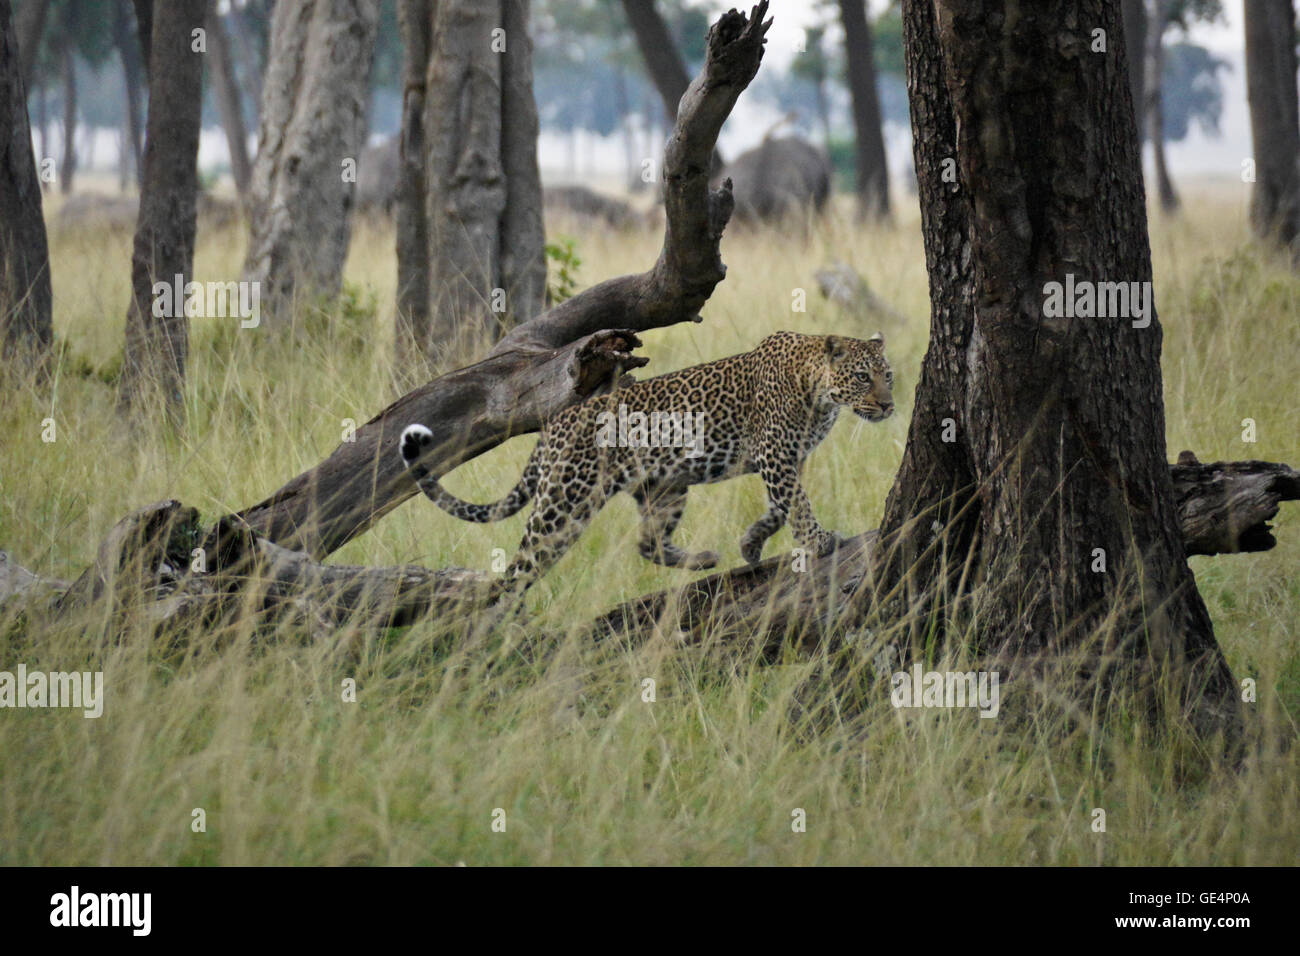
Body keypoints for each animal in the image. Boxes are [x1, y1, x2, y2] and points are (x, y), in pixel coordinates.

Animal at [399, 330, 895, 598]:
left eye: (887, 376)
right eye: (861, 377)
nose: (889, 405)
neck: (820, 394)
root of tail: (554, 425)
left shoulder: (788, 458)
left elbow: (781, 506)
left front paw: (752, 543)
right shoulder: (775, 454)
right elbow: (797, 504)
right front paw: (819, 540)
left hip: (665, 486)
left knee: (647, 543)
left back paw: (702, 558)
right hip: (565, 501)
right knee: (520, 567)